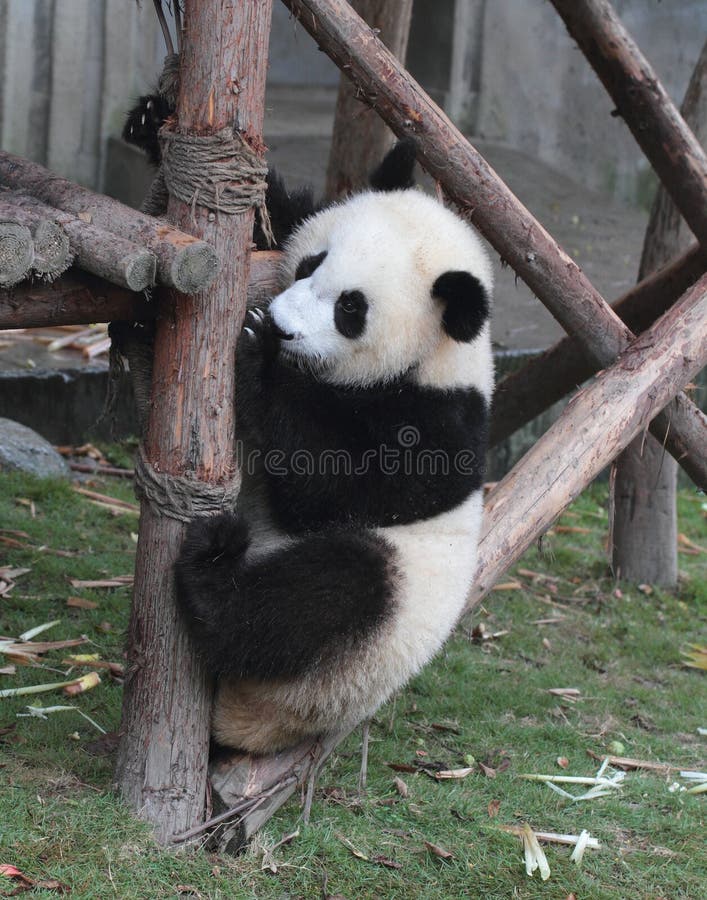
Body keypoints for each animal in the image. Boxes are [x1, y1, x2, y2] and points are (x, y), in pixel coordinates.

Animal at [173, 180, 494, 755]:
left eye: (351, 307)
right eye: (311, 264)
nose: (282, 327)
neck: (435, 359)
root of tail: (255, 725)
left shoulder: (441, 422)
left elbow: (327, 491)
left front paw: (259, 357)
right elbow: (281, 215)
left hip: (355, 652)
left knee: (329, 590)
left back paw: (212, 571)